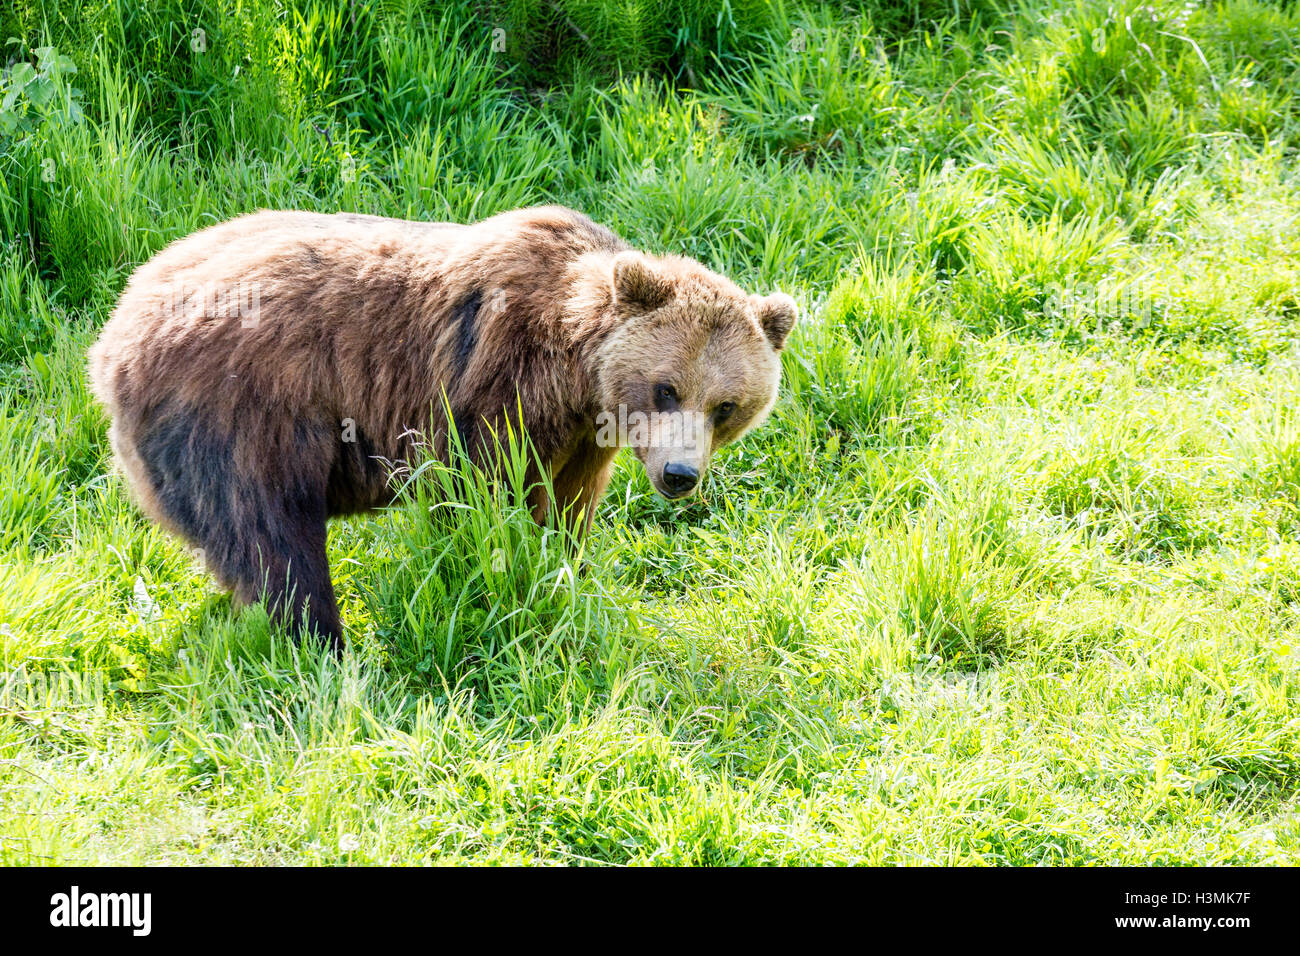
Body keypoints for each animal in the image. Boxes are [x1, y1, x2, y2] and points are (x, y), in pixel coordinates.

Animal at [88, 205, 798, 651]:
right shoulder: (494, 389)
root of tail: (113, 333)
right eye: (666, 387)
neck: (575, 372)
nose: (680, 475)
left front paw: (560, 572)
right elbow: (474, 500)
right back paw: (323, 644)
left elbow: (565, 512)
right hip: (244, 414)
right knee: (272, 539)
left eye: (726, 405)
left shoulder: (581, 442)